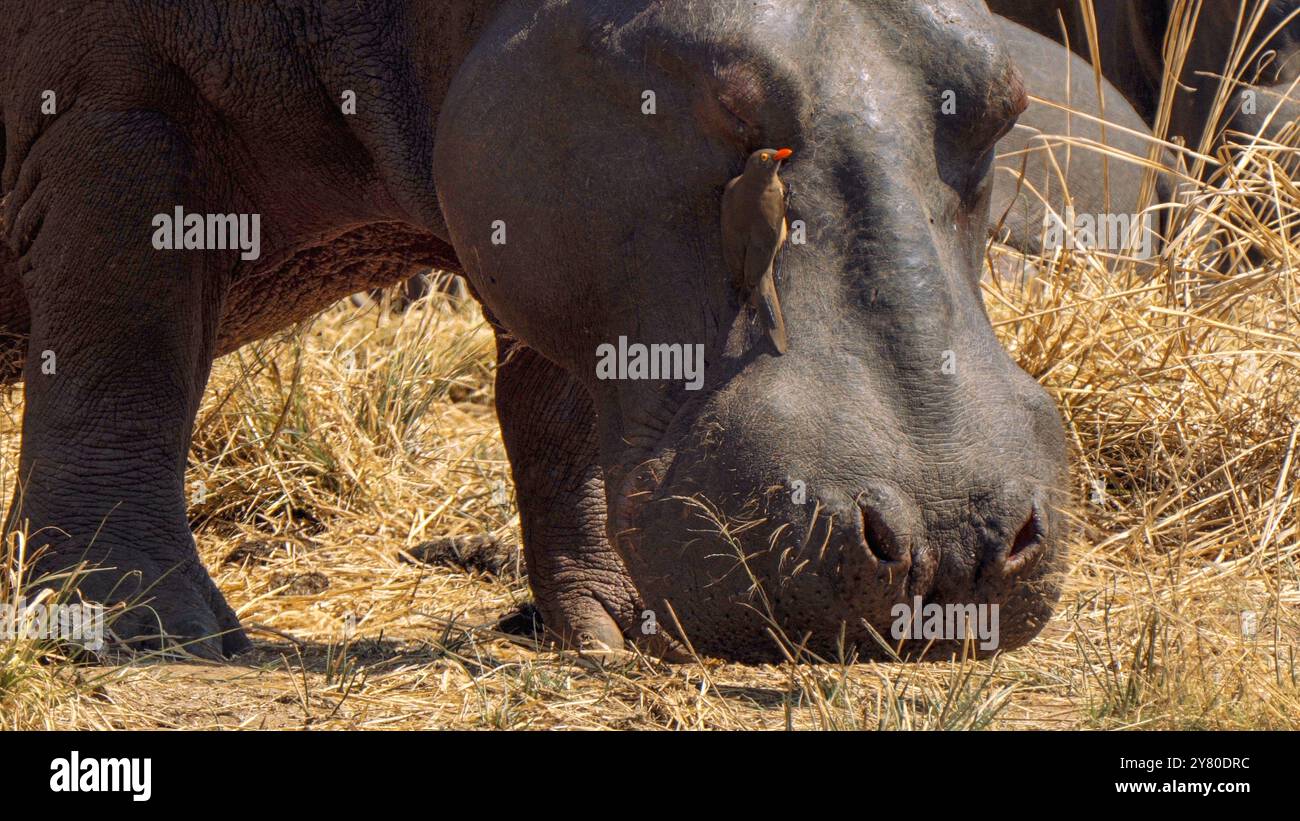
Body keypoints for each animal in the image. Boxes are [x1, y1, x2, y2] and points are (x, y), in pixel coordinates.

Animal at [1, 0, 1071, 663]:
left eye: (1003, 100)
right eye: (730, 104)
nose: (954, 543)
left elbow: (561, 416)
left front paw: (615, 626)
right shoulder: (116, 123)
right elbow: (122, 362)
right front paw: (148, 628)